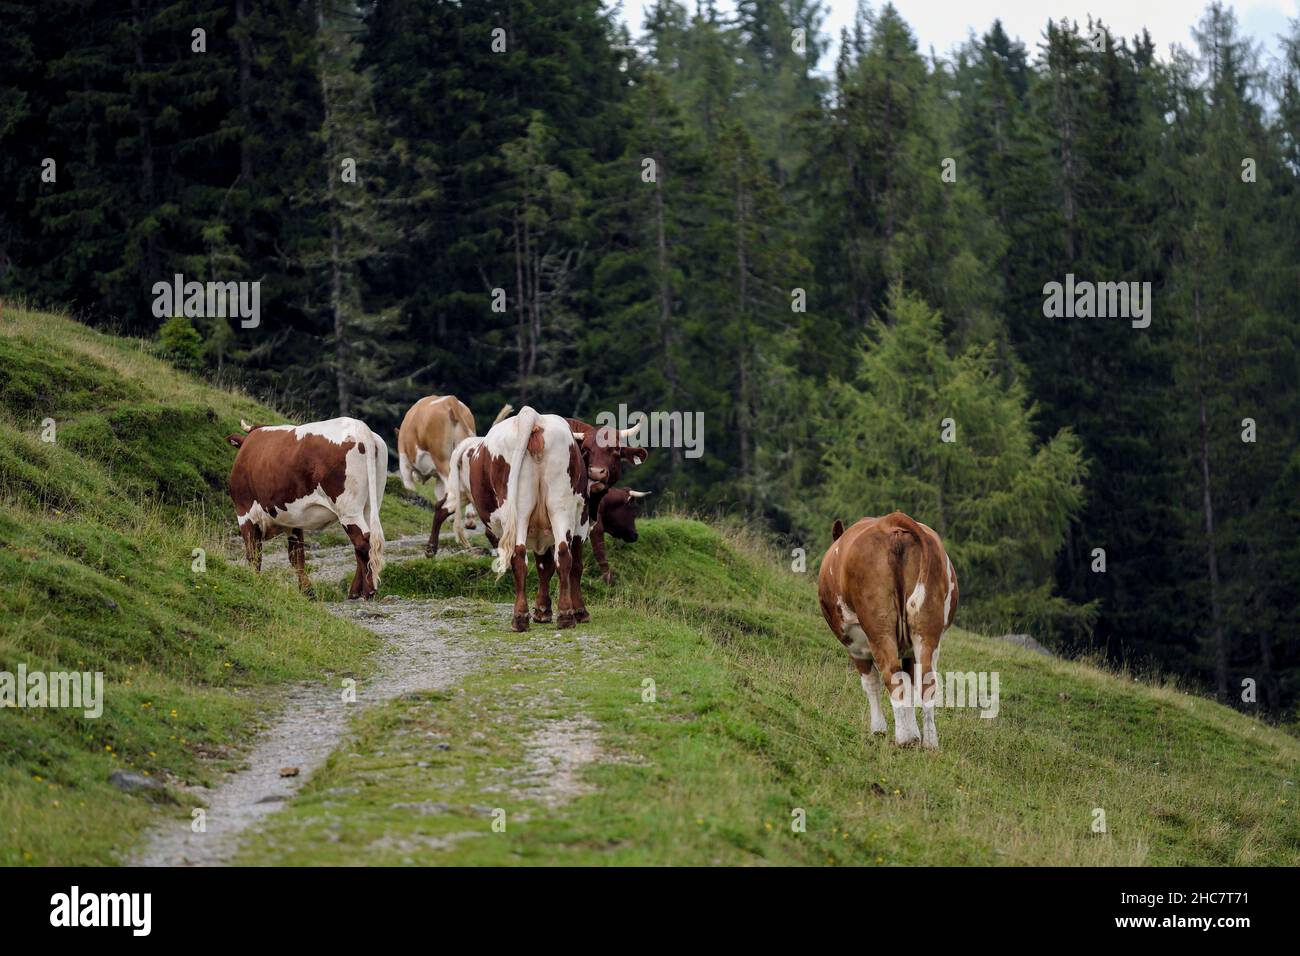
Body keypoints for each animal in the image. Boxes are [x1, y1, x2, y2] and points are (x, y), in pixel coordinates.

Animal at [227, 417, 388, 600]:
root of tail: (360, 427)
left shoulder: (245, 513)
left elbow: (254, 553)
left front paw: (255, 582)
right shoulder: (292, 519)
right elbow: (296, 556)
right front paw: (307, 591)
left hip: (348, 510)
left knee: (362, 543)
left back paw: (368, 591)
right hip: (370, 505)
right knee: (364, 542)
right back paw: (355, 591)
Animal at [448, 406, 590, 631]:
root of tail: (534, 417)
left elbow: (547, 565)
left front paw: (544, 610)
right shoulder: (578, 520)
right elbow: (554, 565)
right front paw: (553, 610)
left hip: (520, 512)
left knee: (521, 556)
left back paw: (522, 617)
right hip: (559, 507)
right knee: (561, 555)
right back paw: (565, 615)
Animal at [817, 512, 958, 749]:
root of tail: (892, 520)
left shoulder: (855, 646)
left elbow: (871, 683)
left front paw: (879, 729)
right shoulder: (909, 651)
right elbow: (910, 683)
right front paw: (914, 732)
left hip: (878, 628)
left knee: (891, 674)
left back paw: (904, 739)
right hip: (926, 629)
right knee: (926, 680)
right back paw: (929, 742)